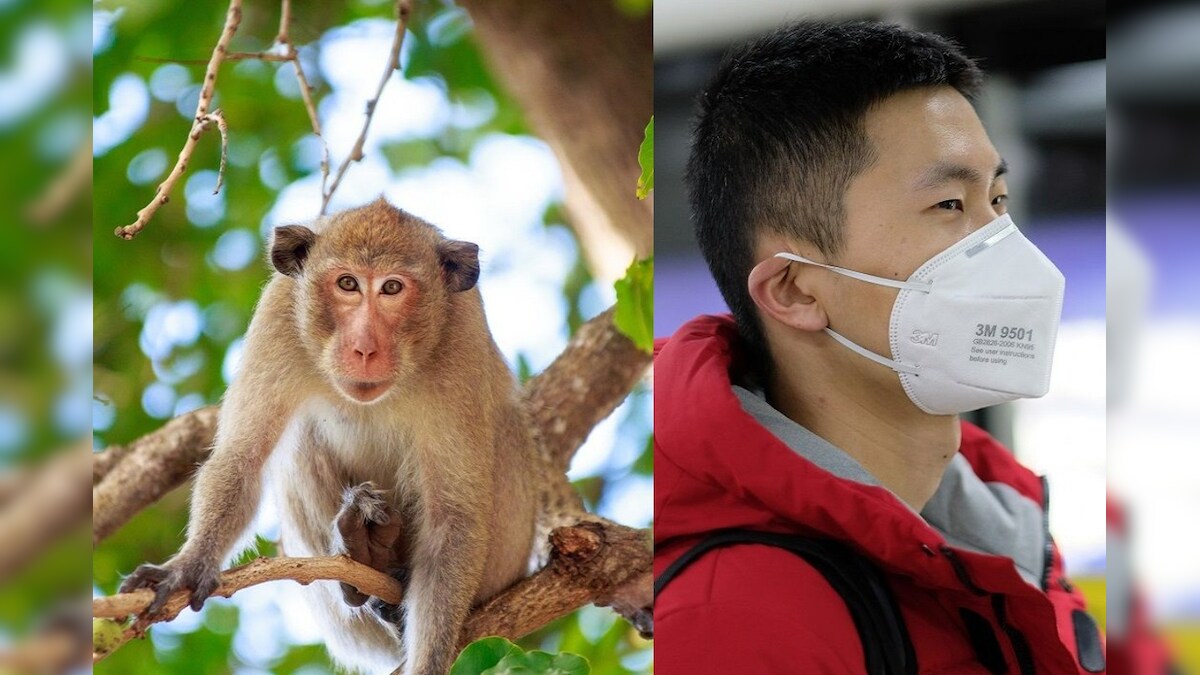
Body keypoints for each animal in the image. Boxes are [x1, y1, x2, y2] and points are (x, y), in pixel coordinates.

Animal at [120, 198, 539, 675]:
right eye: (347, 284)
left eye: (392, 288)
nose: (364, 348)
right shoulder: (279, 313)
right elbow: (241, 457)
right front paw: (188, 566)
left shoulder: (462, 336)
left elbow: (454, 516)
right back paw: (366, 556)